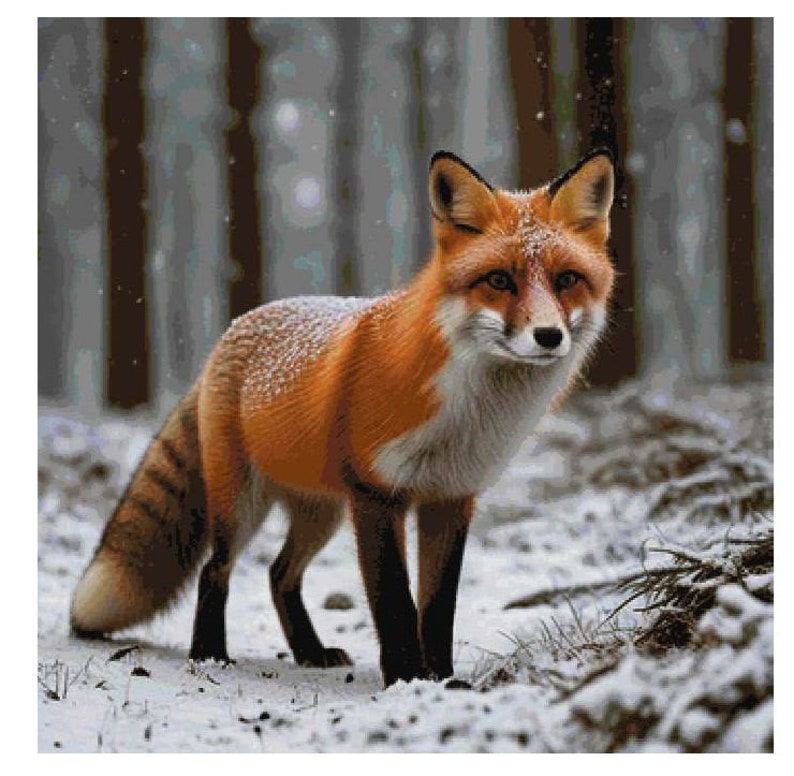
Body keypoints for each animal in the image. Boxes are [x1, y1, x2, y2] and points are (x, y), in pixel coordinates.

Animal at [71, 149, 616, 687]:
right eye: (500, 280)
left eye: (567, 279)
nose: (548, 336)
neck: (469, 416)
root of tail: (232, 330)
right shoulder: (375, 496)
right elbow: (395, 604)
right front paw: (407, 680)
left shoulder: (450, 498)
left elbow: (438, 608)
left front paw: (442, 680)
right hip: (243, 504)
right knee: (215, 570)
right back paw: (209, 656)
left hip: (321, 511)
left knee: (278, 573)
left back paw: (309, 652)